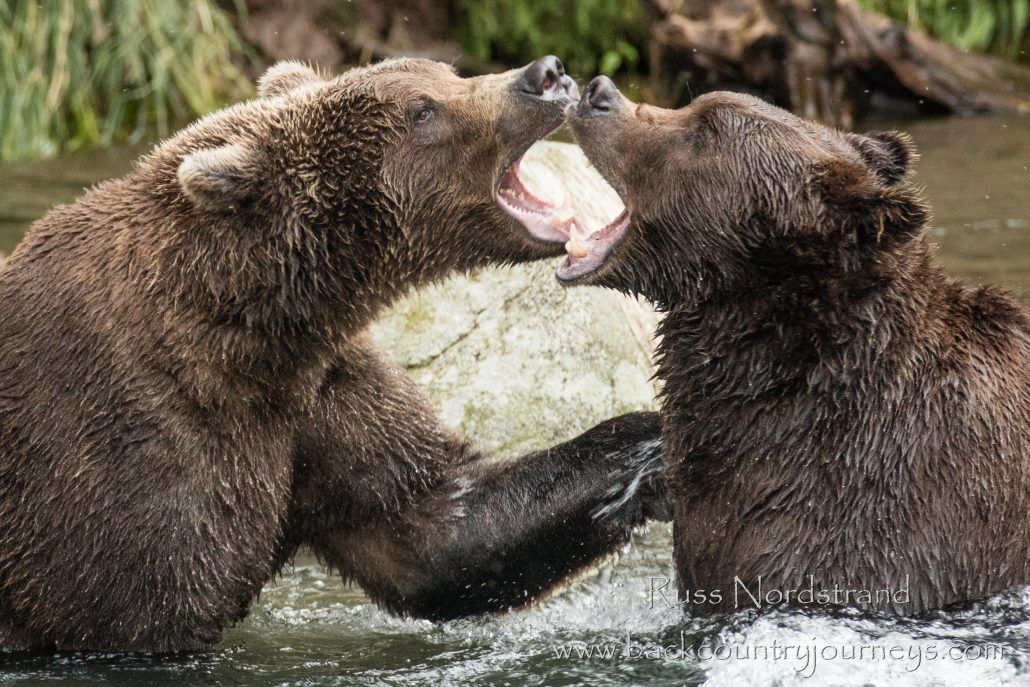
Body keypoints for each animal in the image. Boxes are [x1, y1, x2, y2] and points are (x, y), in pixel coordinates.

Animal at [0, 59, 670, 654]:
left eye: (446, 72)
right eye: (423, 110)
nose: (545, 74)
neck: (249, 331)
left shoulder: (321, 394)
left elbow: (437, 524)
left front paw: (655, 444)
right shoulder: (128, 440)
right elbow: (140, 600)